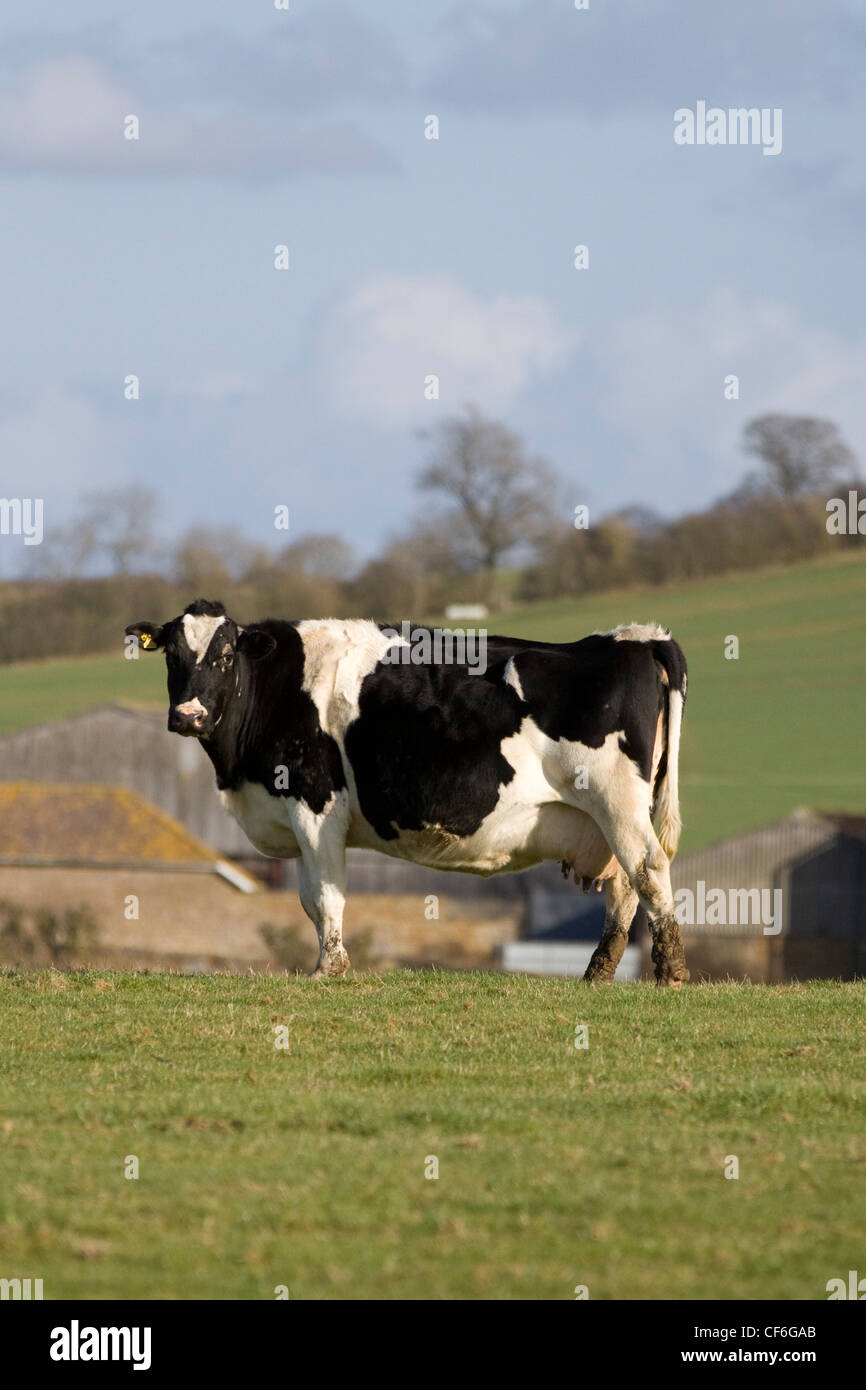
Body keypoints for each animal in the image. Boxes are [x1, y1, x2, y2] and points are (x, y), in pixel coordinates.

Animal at [125, 599, 690, 986]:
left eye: (224, 656)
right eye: (173, 656)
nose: (188, 715)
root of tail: (636, 638)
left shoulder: (315, 803)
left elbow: (327, 894)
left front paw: (330, 968)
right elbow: (309, 898)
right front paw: (327, 961)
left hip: (616, 801)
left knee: (648, 868)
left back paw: (671, 972)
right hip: (607, 817)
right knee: (624, 886)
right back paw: (598, 974)